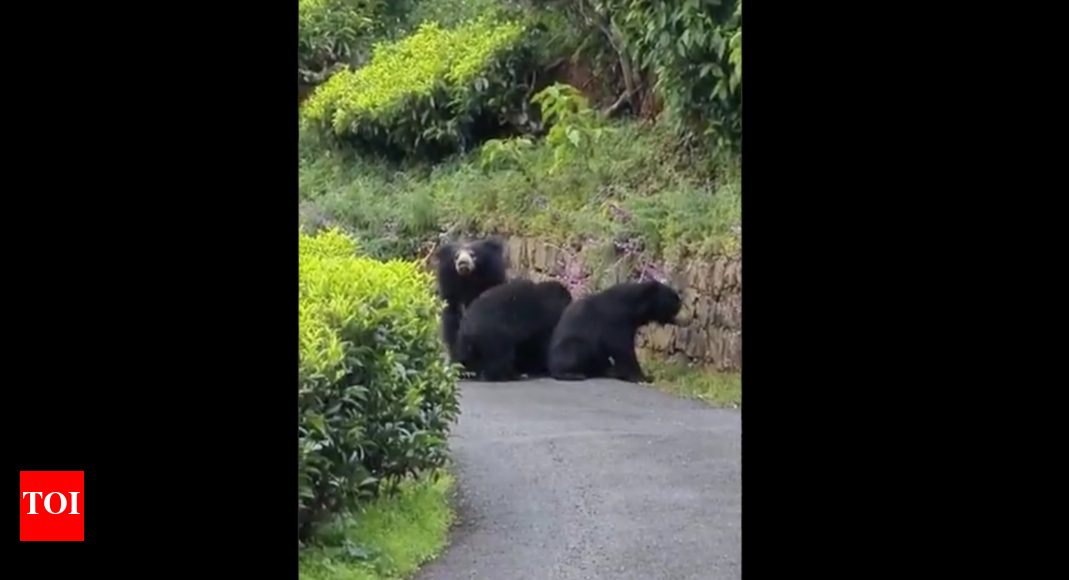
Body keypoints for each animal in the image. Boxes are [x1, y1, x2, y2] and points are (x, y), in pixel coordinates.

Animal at [548, 280, 684, 383]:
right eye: (673, 296)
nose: (680, 301)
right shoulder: (617, 320)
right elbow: (621, 348)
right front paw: (643, 377)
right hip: (570, 346)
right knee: (576, 349)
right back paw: (573, 374)